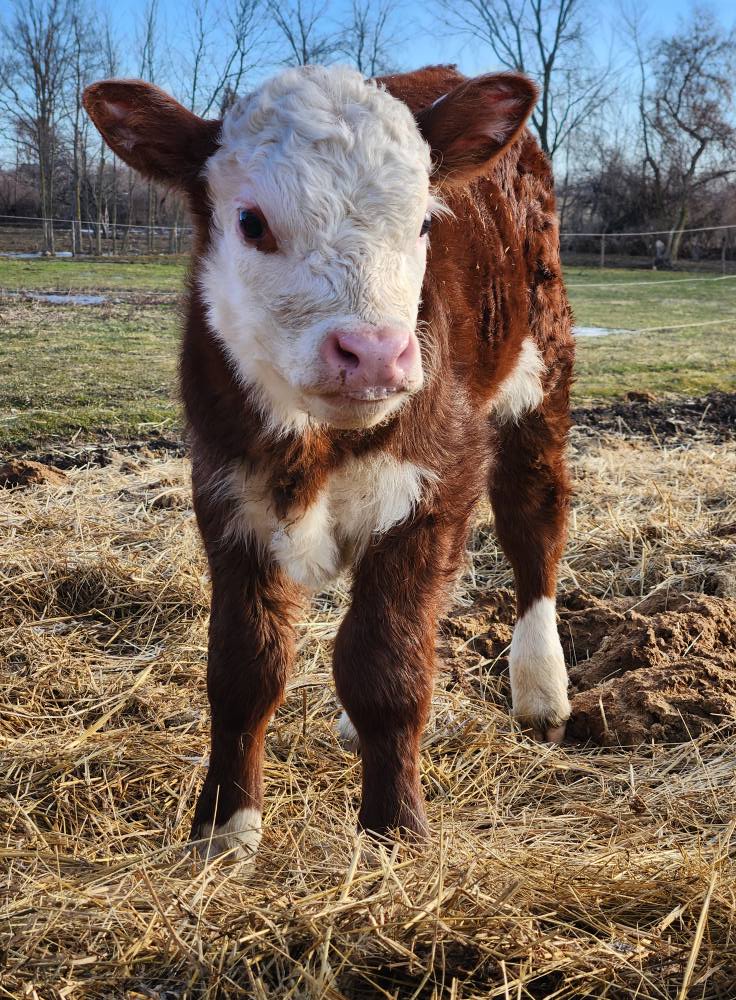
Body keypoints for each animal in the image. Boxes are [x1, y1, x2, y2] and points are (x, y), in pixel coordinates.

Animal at [83, 63, 574, 861]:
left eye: (424, 223)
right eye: (251, 222)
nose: (373, 353)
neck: (316, 443)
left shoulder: (436, 482)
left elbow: (387, 666)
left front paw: (394, 831)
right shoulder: (227, 490)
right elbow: (245, 667)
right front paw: (226, 826)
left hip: (543, 370)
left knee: (534, 519)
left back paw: (541, 690)